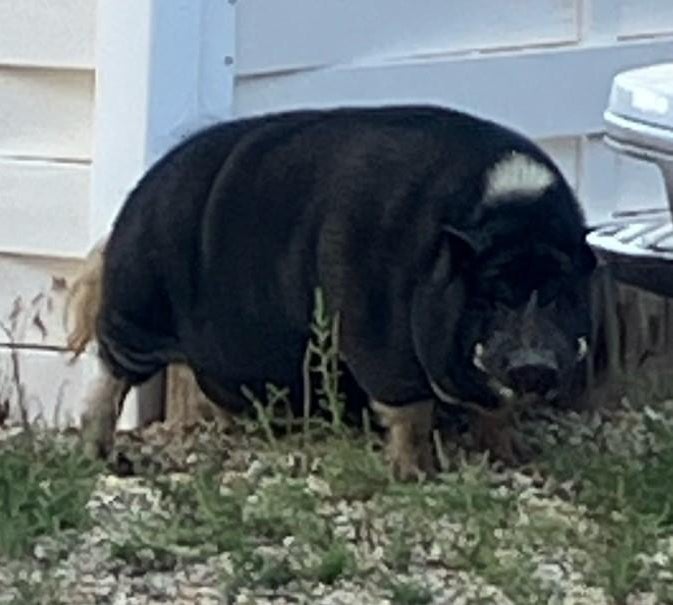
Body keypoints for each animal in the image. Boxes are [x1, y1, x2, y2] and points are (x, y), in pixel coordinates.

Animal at [66, 105, 596, 480]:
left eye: (560, 293)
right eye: (493, 295)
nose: (534, 364)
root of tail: (129, 208)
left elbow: (495, 411)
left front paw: (517, 457)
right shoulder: (377, 333)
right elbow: (411, 412)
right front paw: (416, 474)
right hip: (136, 310)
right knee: (108, 377)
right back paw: (102, 457)